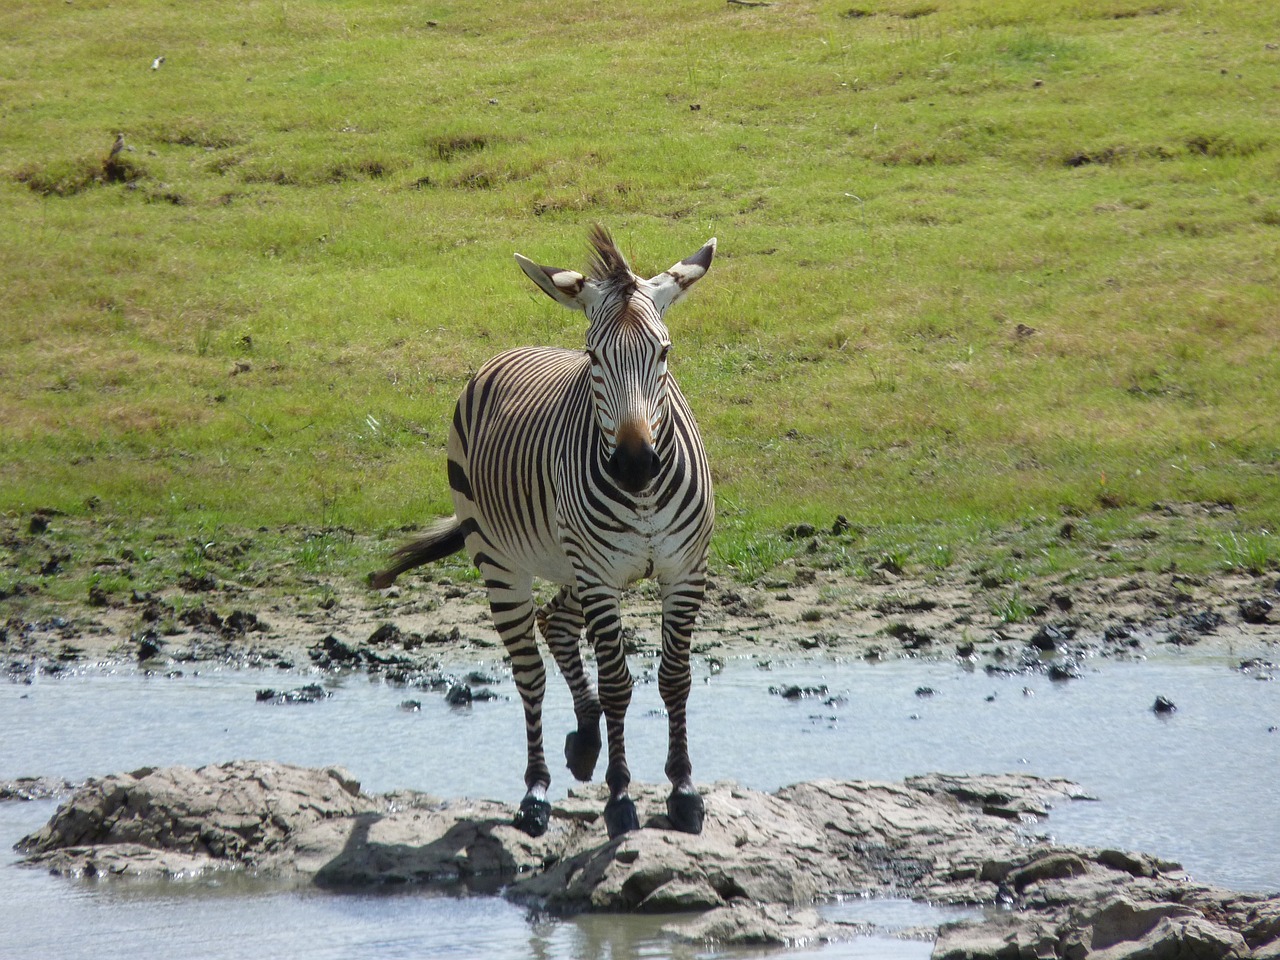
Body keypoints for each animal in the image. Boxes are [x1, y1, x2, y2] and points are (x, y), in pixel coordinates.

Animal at [371, 226, 716, 840]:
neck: (643, 496)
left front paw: (682, 791)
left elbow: (675, 678)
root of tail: (510, 352)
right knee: (529, 672)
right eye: (594, 355)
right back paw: (535, 793)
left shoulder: (683, 571)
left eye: (664, 353)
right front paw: (620, 799)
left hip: (570, 562)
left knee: (555, 623)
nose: (634, 465)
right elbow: (618, 684)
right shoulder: (599, 578)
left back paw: (584, 742)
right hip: (503, 563)